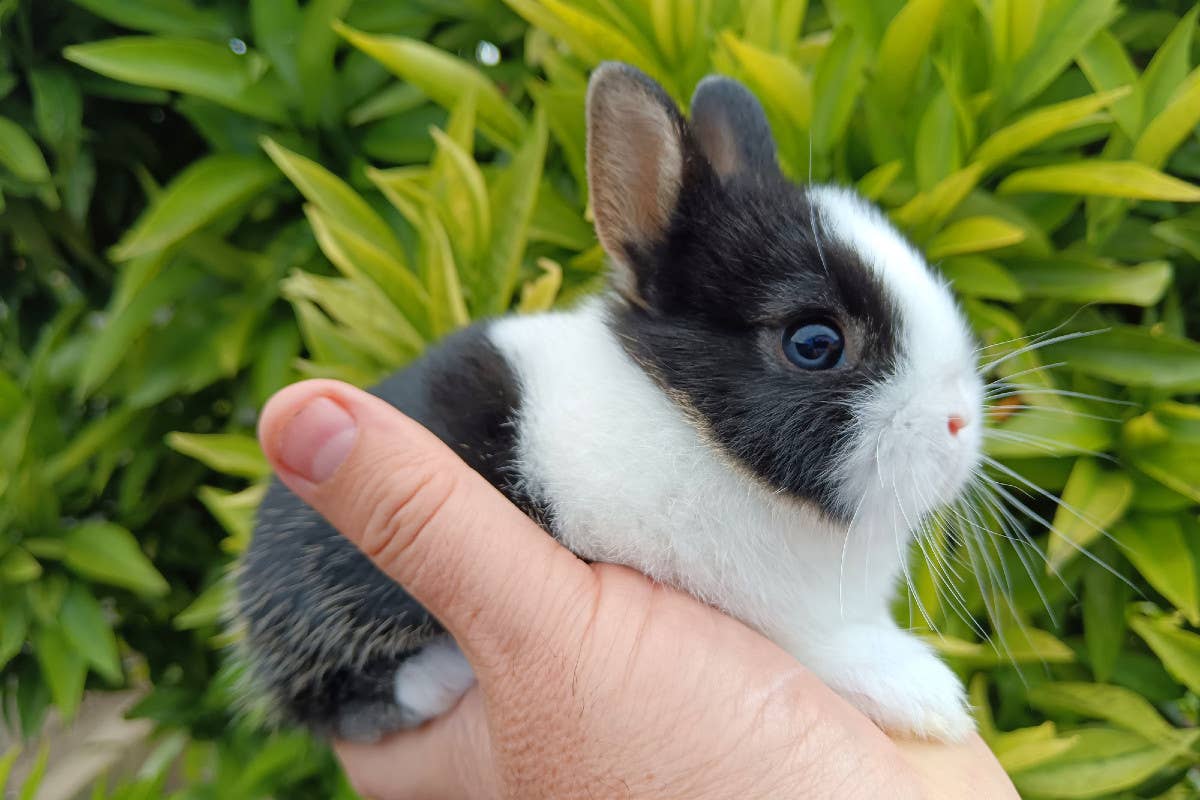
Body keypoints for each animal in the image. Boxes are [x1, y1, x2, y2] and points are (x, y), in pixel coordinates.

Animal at [234, 62, 985, 745]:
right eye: (814, 343)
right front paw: (926, 695)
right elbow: (814, 647)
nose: (959, 425)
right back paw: (440, 676)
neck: (688, 424)